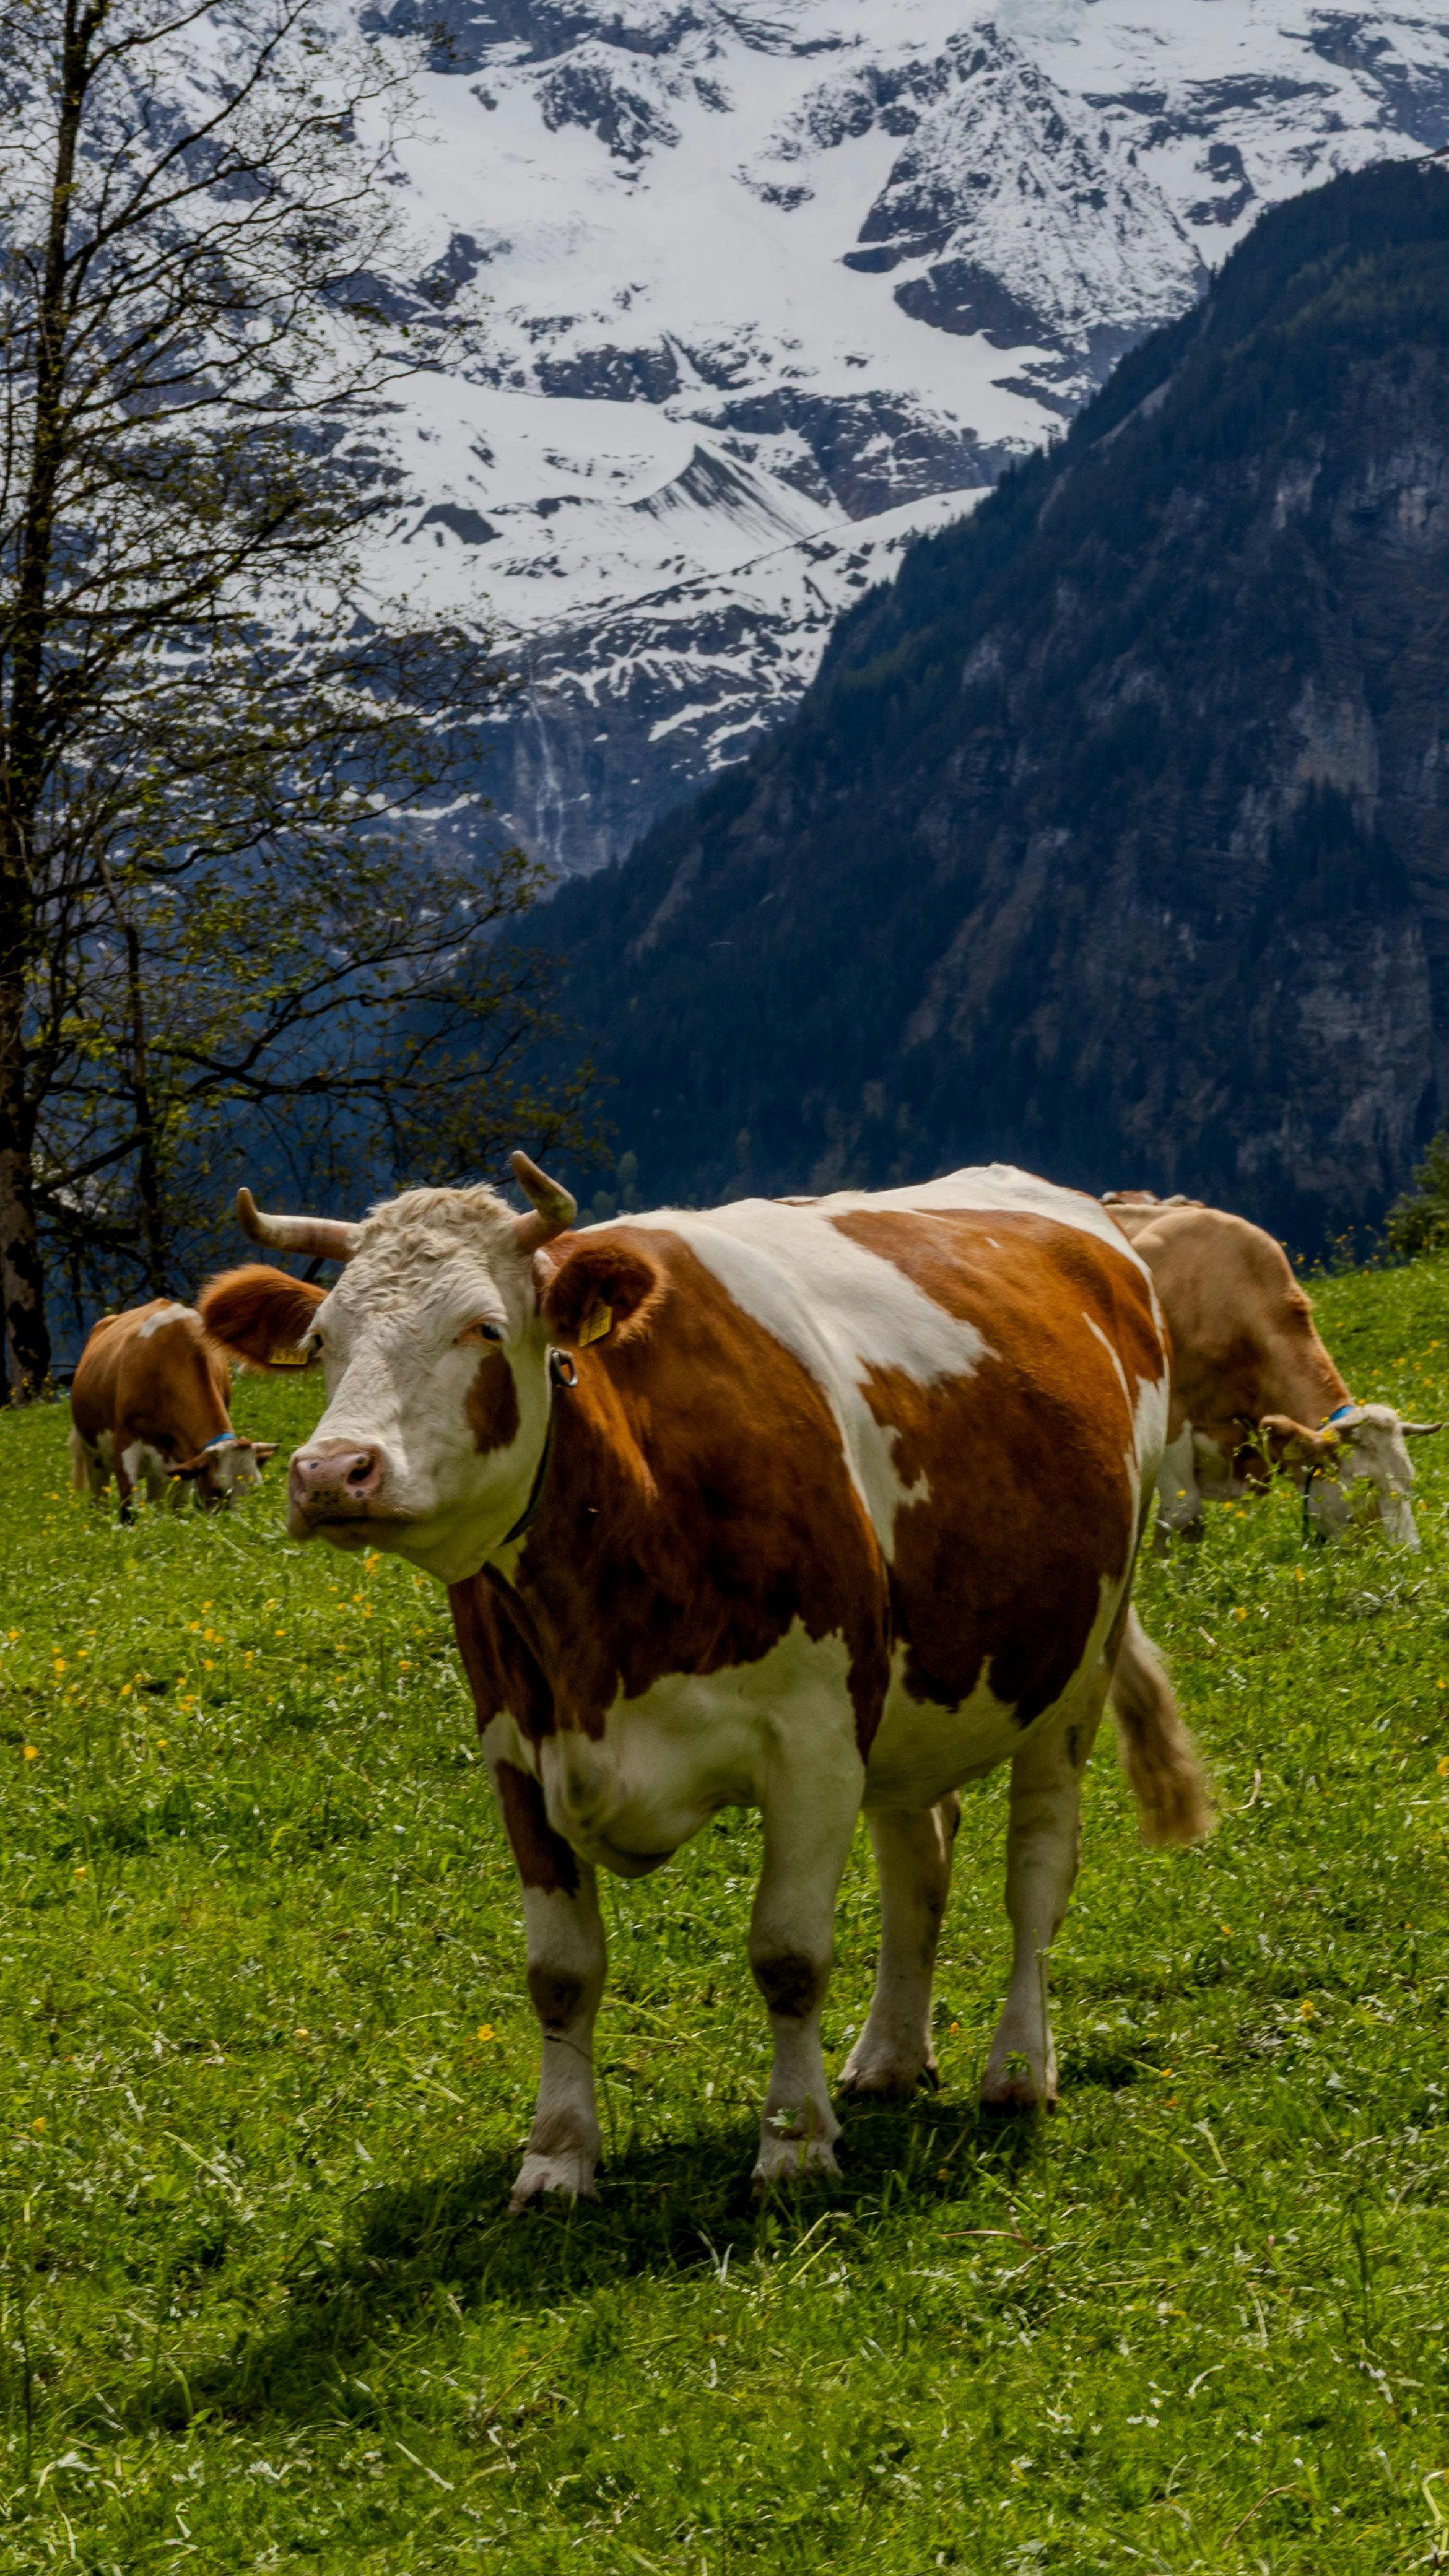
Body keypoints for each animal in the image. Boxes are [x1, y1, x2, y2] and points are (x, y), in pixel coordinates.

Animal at [69, 1299, 277, 1520]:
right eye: (219, 1491)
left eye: (255, 1490)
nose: (236, 1526)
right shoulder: (125, 1445)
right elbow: (129, 1510)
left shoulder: (185, 1455)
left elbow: (178, 1510)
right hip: (94, 1456)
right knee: (98, 1504)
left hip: (158, 1471)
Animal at [198, 1158, 1211, 2209]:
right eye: (324, 1340)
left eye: (483, 1326)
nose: (331, 1472)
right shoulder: (517, 1747)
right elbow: (560, 1972)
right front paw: (557, 2155)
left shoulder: (813, 1742)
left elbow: (789, 1956)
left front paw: (795, 2145)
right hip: (902, 1702)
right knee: (917, 1869)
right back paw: (890, 2055)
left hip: (1077, 1665)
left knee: (1036, 1873)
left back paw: (1016, 2067)